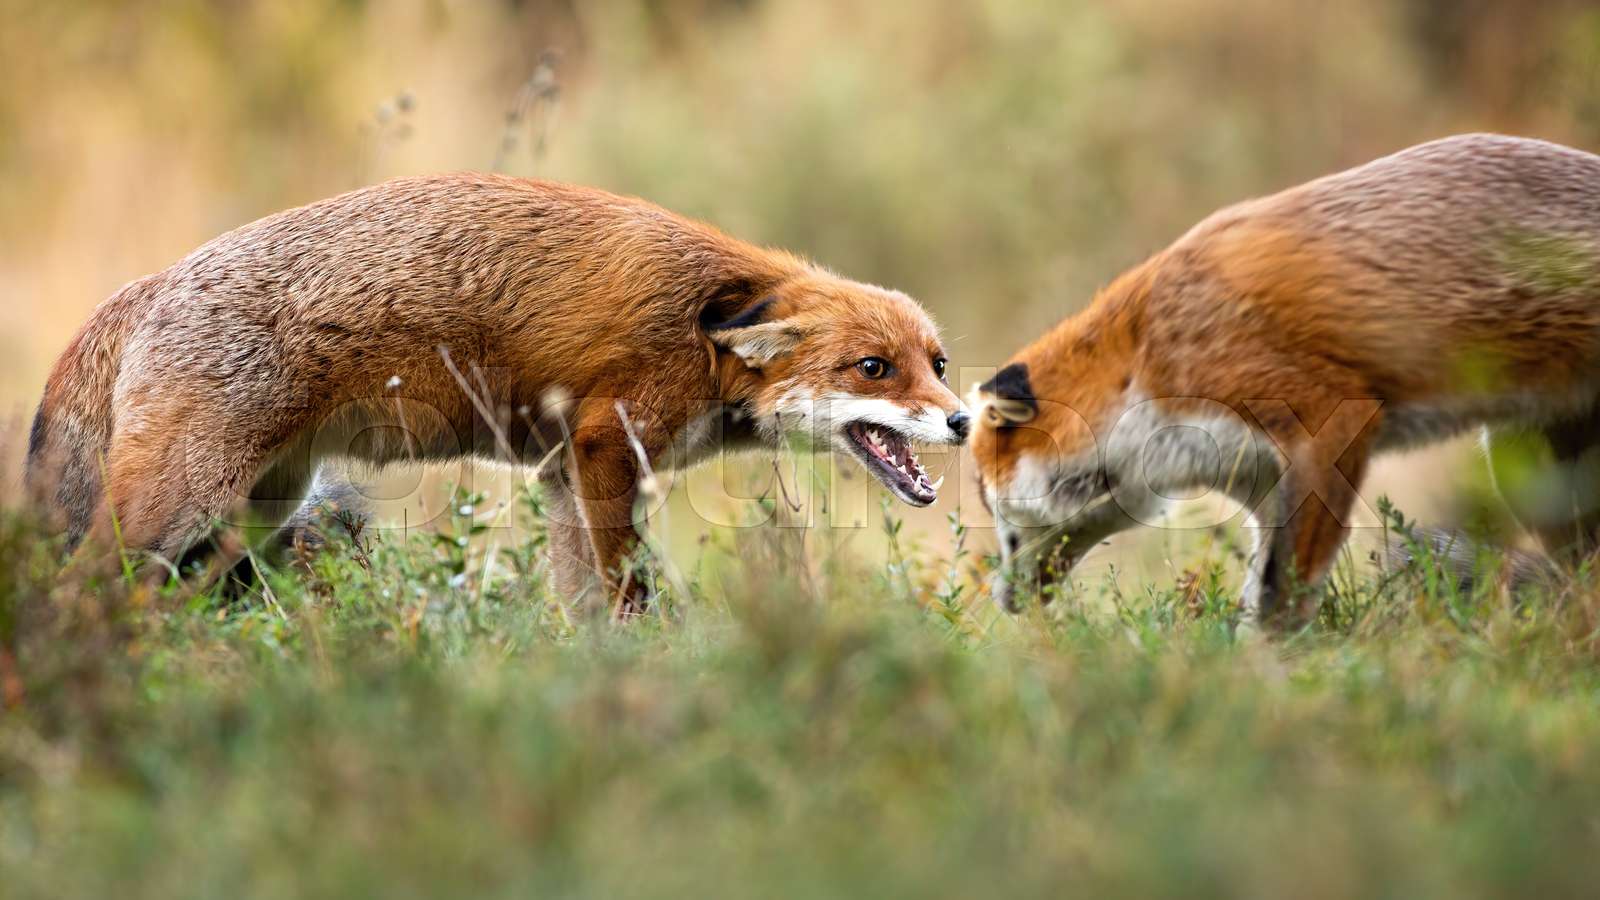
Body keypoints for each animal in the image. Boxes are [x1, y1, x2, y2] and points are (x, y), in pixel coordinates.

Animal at [26, 173, 970, 612]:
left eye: (937, 360)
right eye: (873, 368)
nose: (964, 421)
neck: (707, 338)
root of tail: (152, 281)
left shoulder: (561, 473)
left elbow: (582, 604)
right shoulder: (607, 443)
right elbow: (629, 591)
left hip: (251, 515)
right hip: (177, 505)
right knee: (76, 593)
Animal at [970, 133, 1600, 628]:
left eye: (992, 507)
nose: (1001, 600)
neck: (1147, 355)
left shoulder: (1330, 425)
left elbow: (1281, 603)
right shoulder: (1263, 481)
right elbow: (1259, 594)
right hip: (1533, 476)